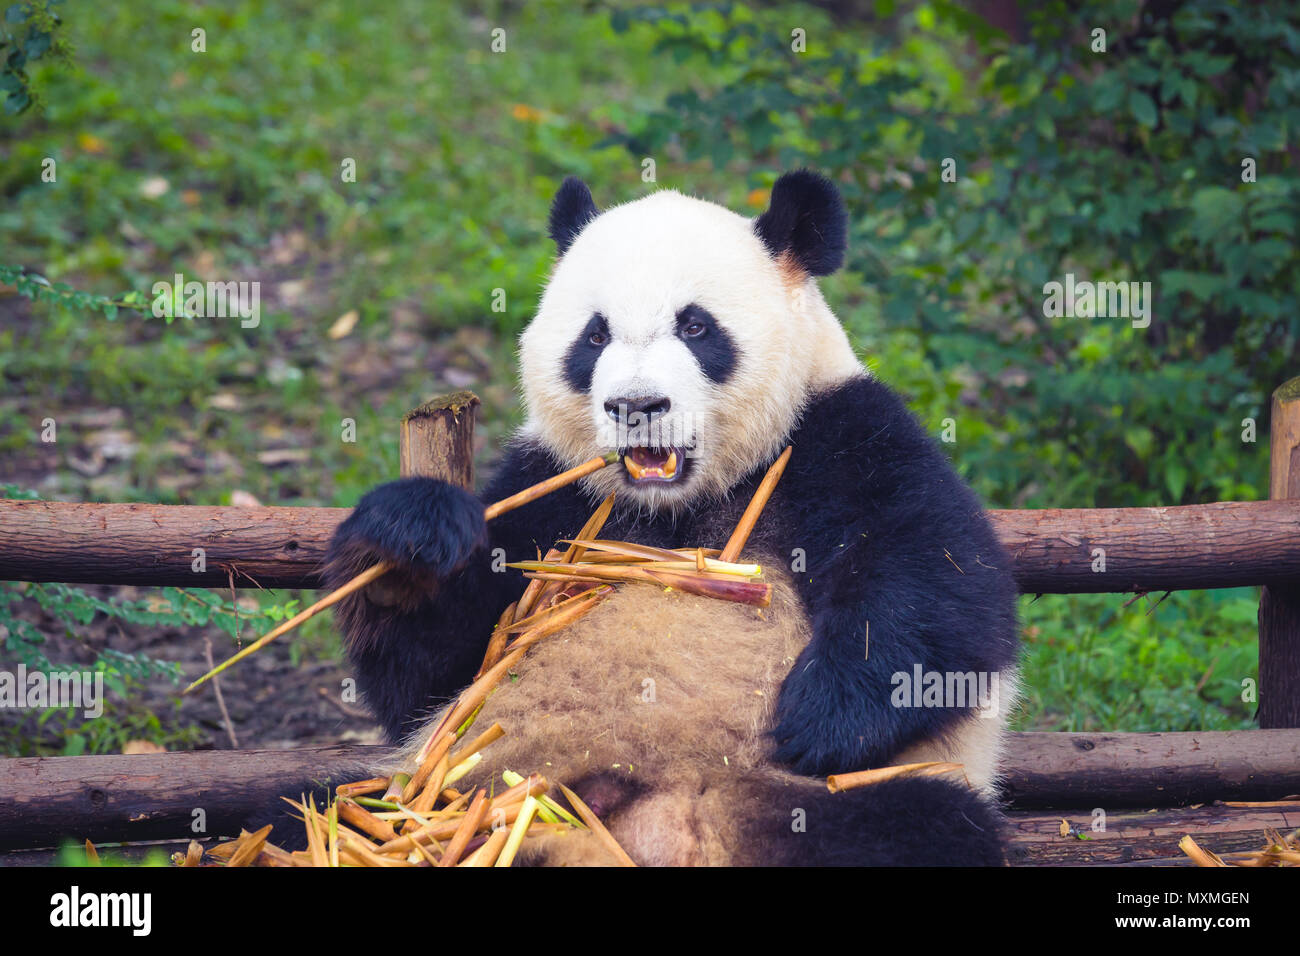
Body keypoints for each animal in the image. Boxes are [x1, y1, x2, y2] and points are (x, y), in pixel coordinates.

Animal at [318, 170, 1021, 866]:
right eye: (594, 336)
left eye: (696, 327)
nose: (637, 406)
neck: (677, 507)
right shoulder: (551, 491)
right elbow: (439, 675)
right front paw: (411, 541)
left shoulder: (839, 435)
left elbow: (943, 590)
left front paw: (820, 717)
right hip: (465, 798)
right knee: (351, 808)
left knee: (928, 823)